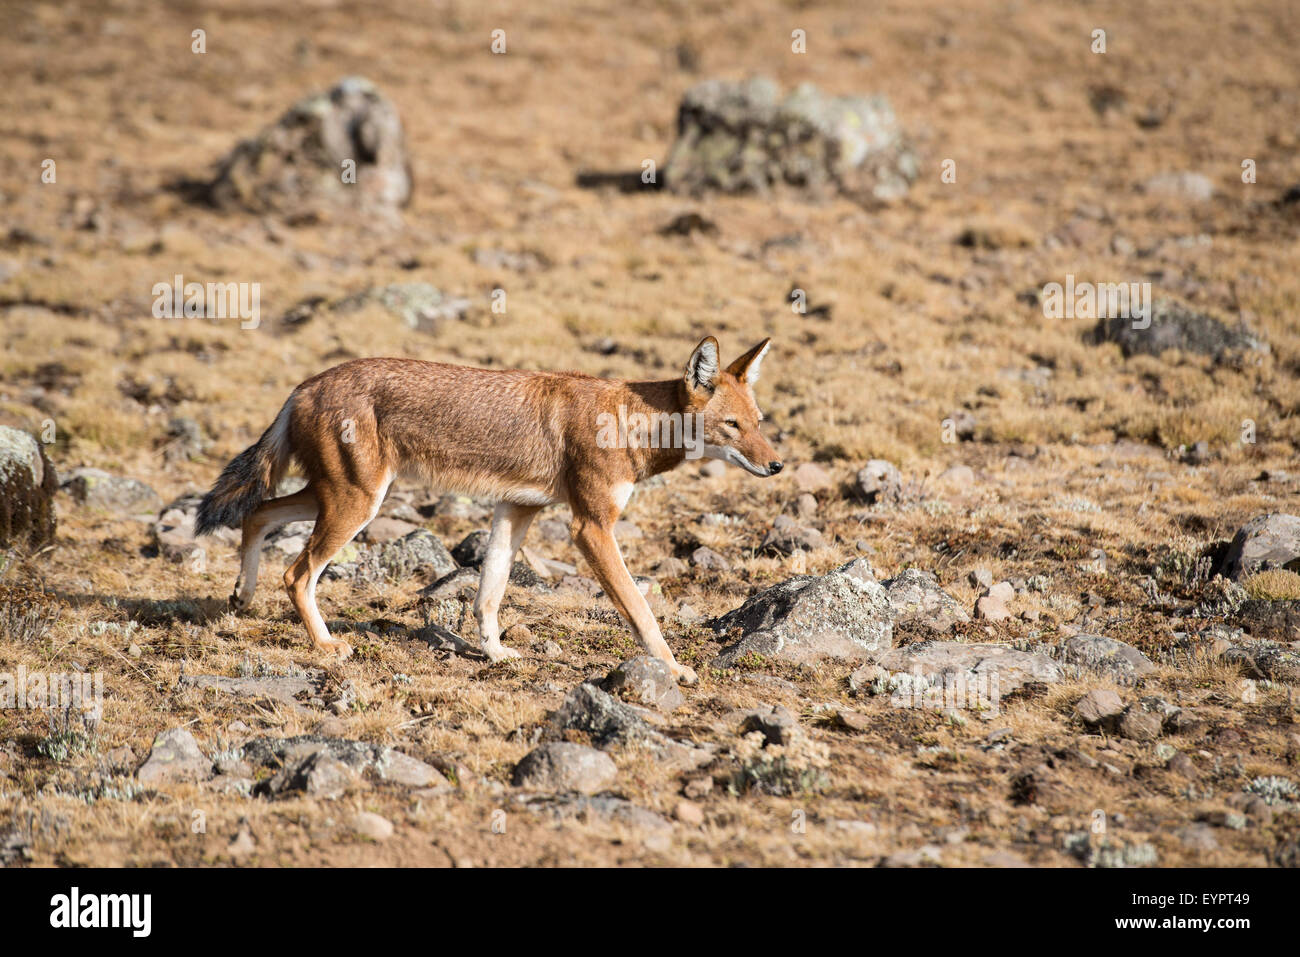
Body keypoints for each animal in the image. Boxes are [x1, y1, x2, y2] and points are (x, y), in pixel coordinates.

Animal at [194, 336, 782, 685]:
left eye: (759, 422)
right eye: (732, 426)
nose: (777, 465)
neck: (628, 419)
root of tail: (304, 385)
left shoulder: (515, 509)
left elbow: (489, 593)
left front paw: (495, 655)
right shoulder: (590, 528)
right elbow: (640, 609)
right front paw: (673, 669)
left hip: (338, 498)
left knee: (256, 514)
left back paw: (241, 597)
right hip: (355, 504)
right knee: (296, 573)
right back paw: (325, 645)